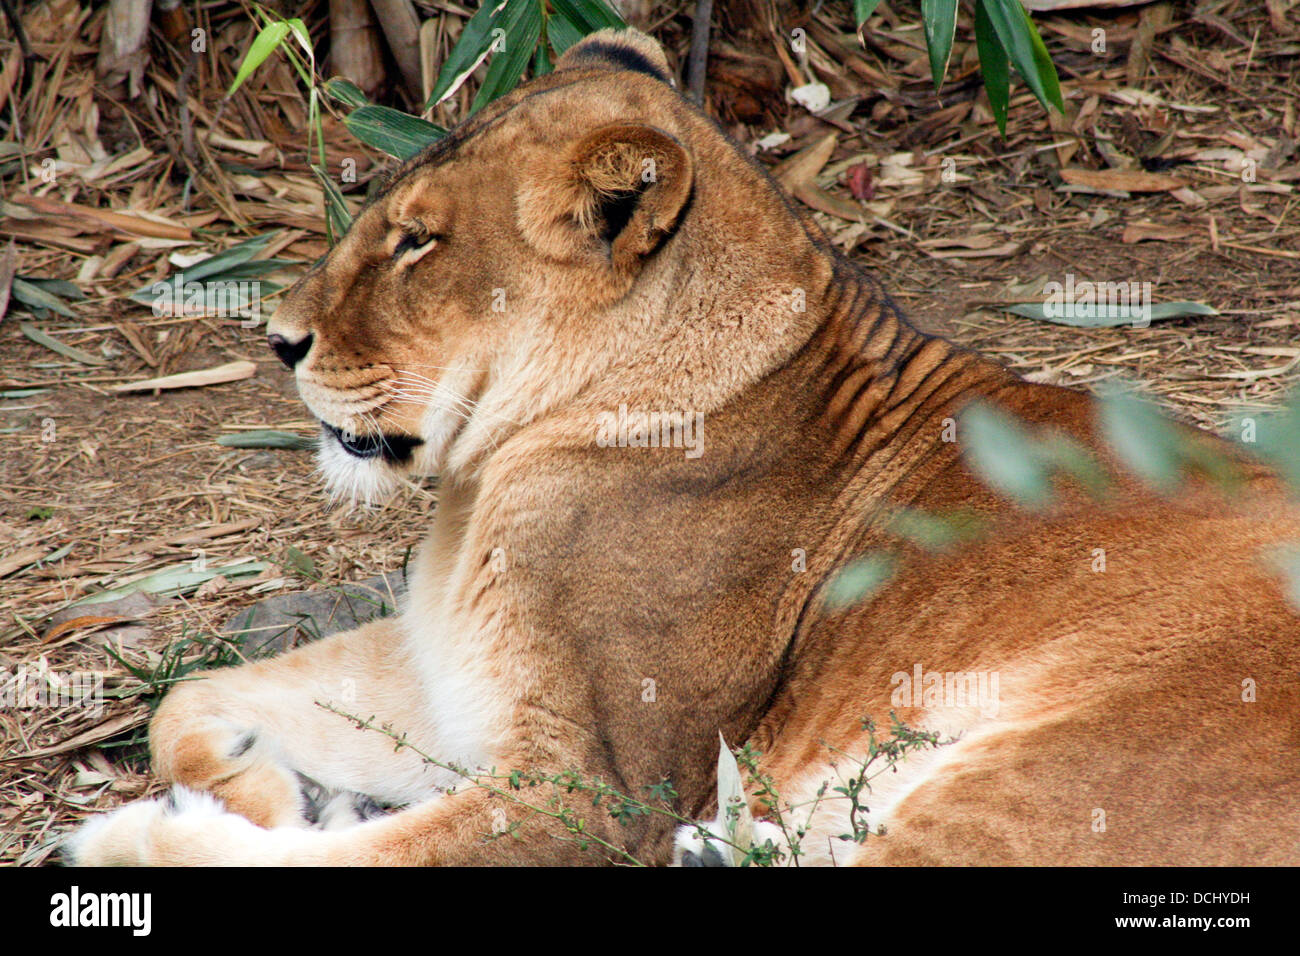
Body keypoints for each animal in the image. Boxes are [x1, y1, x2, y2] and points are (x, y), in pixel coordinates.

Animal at [68, 28, 1300, 866]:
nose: (280, 341)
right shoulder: (452, 675)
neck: (495, 474)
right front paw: (262, 787)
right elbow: (195, 695)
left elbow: (360, 858)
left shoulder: (601, 791)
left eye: (418, 242)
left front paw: (162, 831)